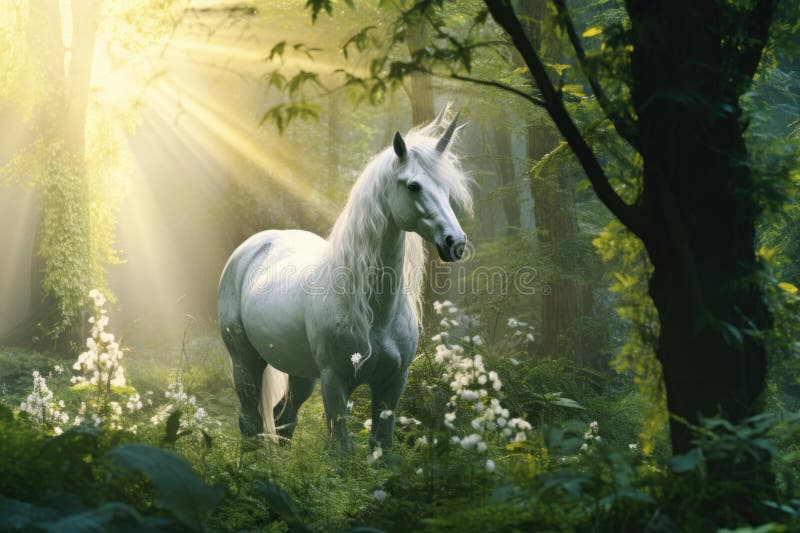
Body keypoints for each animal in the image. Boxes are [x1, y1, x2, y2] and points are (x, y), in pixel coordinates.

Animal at [218, 110, 472, 452]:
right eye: (413, 186)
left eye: (446, 189)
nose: (455, 242)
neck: (375, 312)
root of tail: (255, 244)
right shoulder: (334, 381)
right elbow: (341, 450)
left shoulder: (393, 383)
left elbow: (383, 446)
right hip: (246, 363)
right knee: (250, 423)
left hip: (301, 374)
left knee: (284, 419)